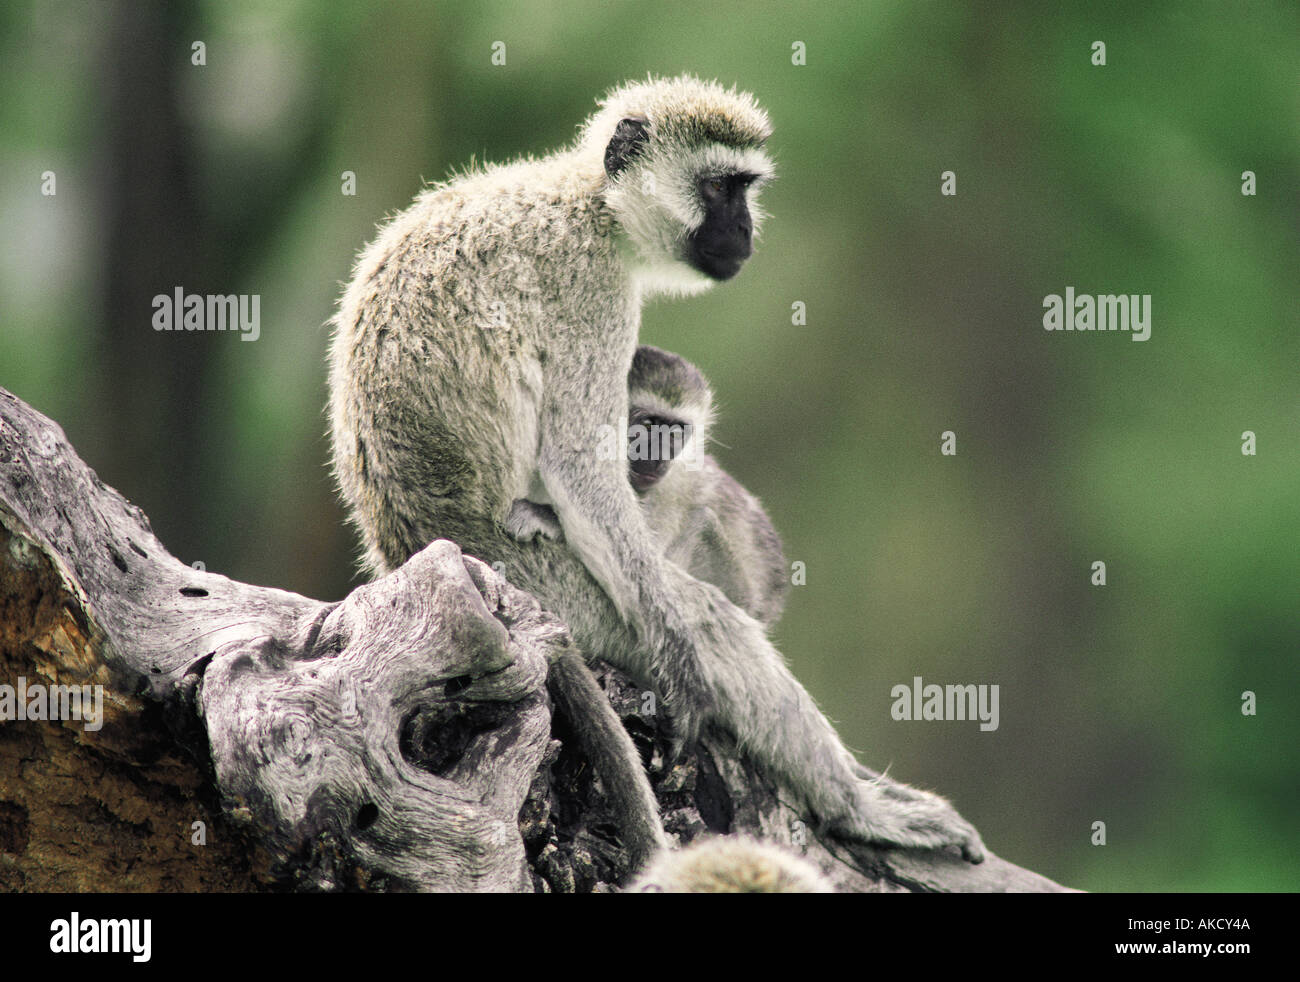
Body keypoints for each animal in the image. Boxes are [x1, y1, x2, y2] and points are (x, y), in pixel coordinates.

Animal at [328, 74, 985, 863]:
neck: (592, 202)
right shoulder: (593, 287)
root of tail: (407, 549)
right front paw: (684, 669)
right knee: (706, 618)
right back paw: (855, 805)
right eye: (721, 186)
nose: (747, 232)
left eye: (746, 189)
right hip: (558, 590)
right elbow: (578, 463)